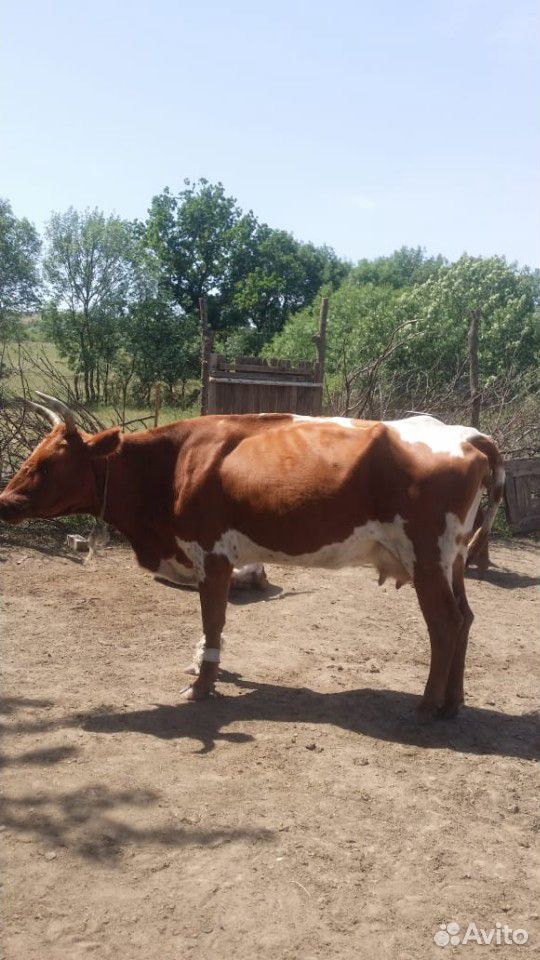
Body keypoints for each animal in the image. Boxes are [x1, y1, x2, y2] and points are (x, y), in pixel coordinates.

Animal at [0, 395, 504, 718]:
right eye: (32, 455)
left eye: (47, 464)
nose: (4, 501)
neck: (175, 463)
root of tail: (466, 434)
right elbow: (211, 622)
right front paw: (204, 668)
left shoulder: (212, 553)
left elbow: (213, 619)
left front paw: (202, 686)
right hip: (452, 558)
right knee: (466, 617)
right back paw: (453, 703)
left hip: (428, 557)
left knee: (445, 623)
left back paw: (427, 706)